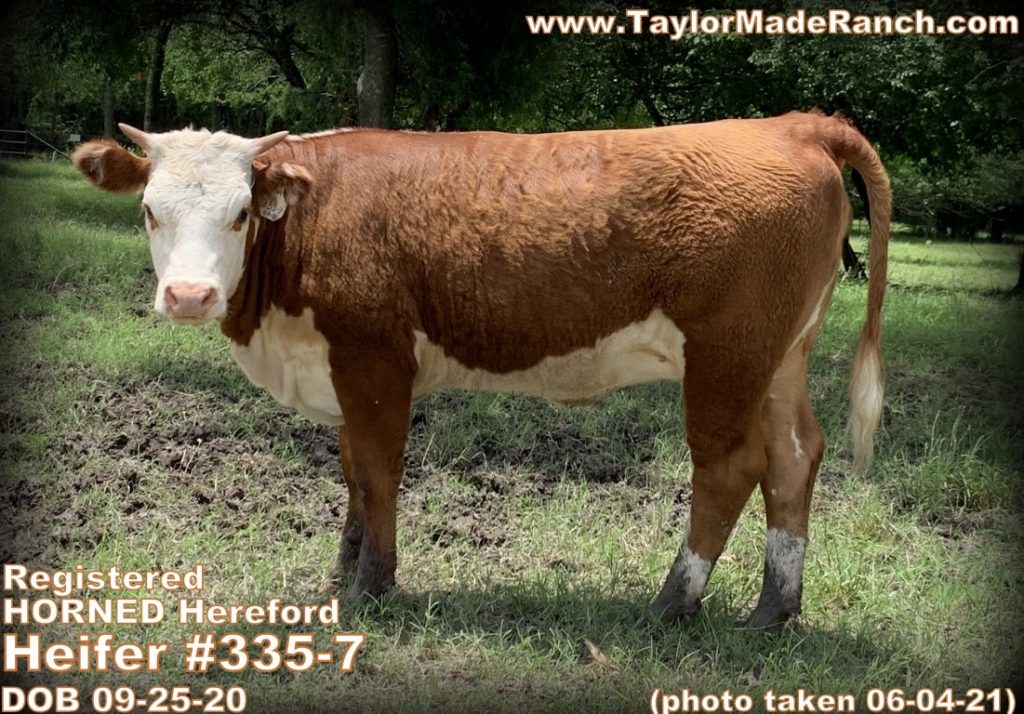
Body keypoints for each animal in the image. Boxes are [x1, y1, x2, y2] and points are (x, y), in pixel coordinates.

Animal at [72, 111, 889, 630]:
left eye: (241, 211)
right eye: (148, 210)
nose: (189, 295)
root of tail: (791, 122)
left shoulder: (374, 359)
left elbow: (377, 472)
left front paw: (374, 587)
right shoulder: (338, 371)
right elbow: (350, 473)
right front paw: (343, 573)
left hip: (726, 356)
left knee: (728, 467)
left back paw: (672, 604)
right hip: (779, 358)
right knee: (794, 456)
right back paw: (773, 611)